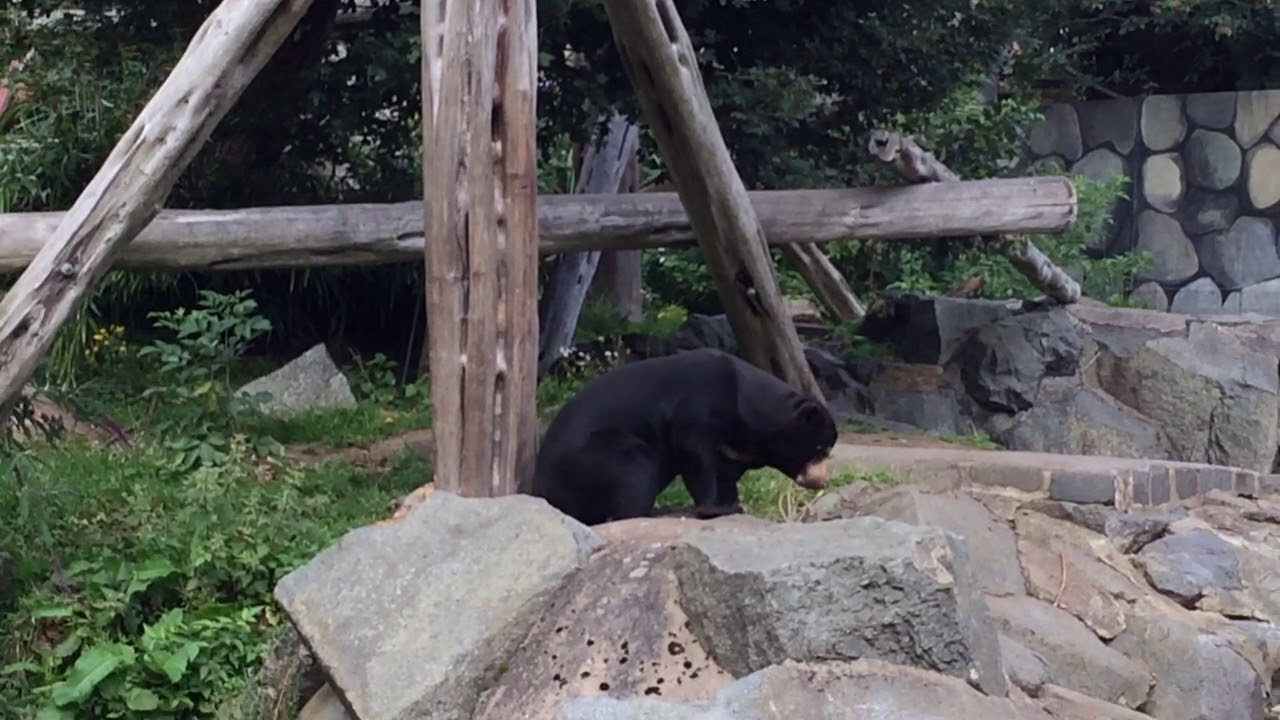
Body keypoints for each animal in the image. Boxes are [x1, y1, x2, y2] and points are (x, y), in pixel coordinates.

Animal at [529, 347, 838, 526]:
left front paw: (731, 504)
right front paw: (714, 508)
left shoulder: (736, 447)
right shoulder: (696, 408)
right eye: (820, 448)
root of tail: (545, 488)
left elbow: (726, 473)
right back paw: (659, 510)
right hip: (594, 456)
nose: (822, 479)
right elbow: (695, 455)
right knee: (635, 470)